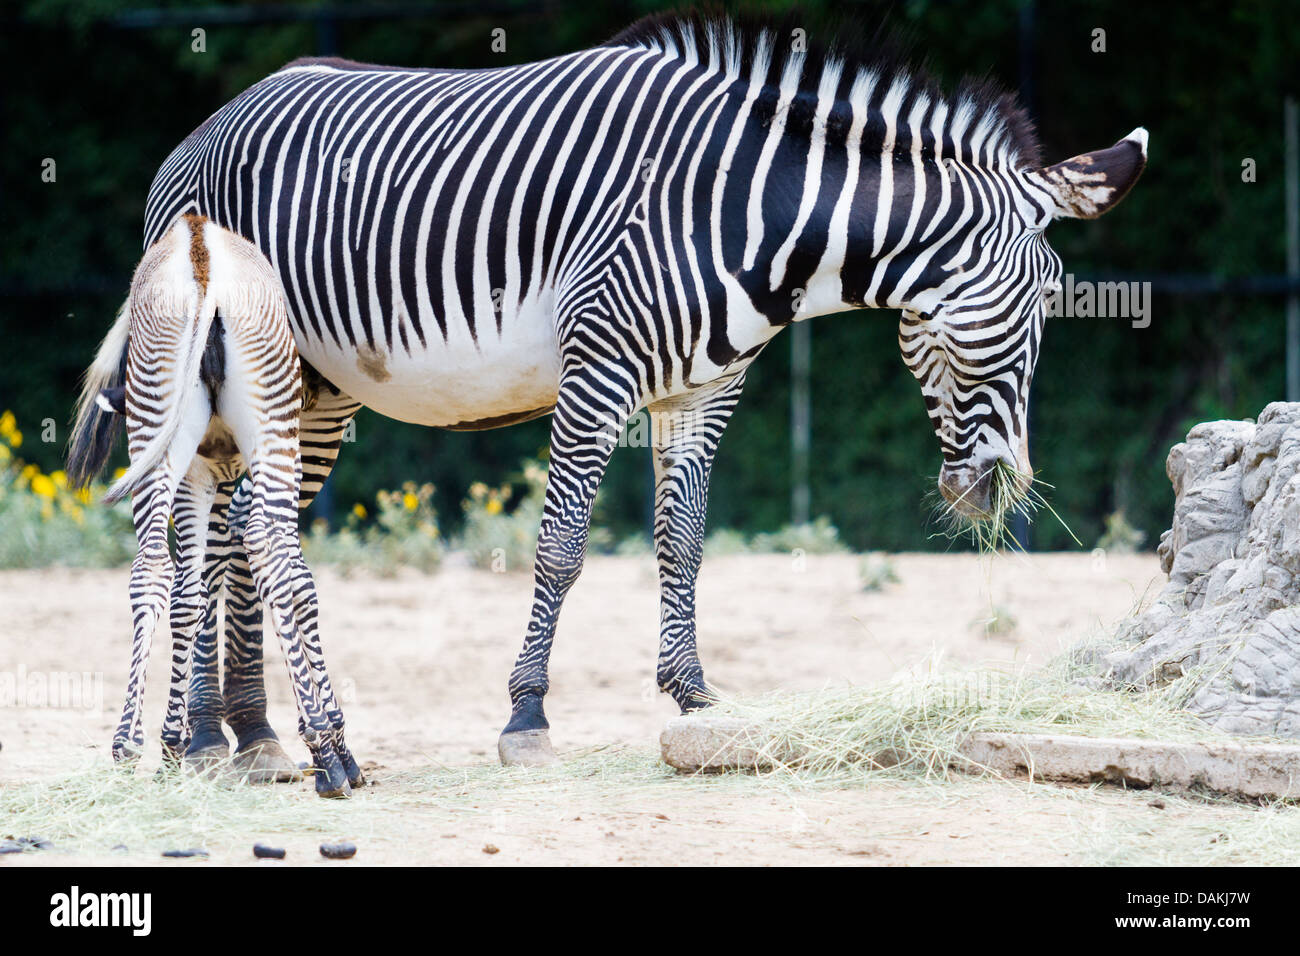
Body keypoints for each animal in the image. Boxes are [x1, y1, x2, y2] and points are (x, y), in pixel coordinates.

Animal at [86, 214, 364, 797]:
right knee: (270, 553)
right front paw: (332, 735)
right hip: (266, 433)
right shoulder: (254, 463)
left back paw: (130, 746)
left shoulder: (200, 472)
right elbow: (286, 582)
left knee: (152, 567)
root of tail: (201, 253)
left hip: (158, 431)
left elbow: (192, 593)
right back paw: (328, 756)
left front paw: (178, 744)